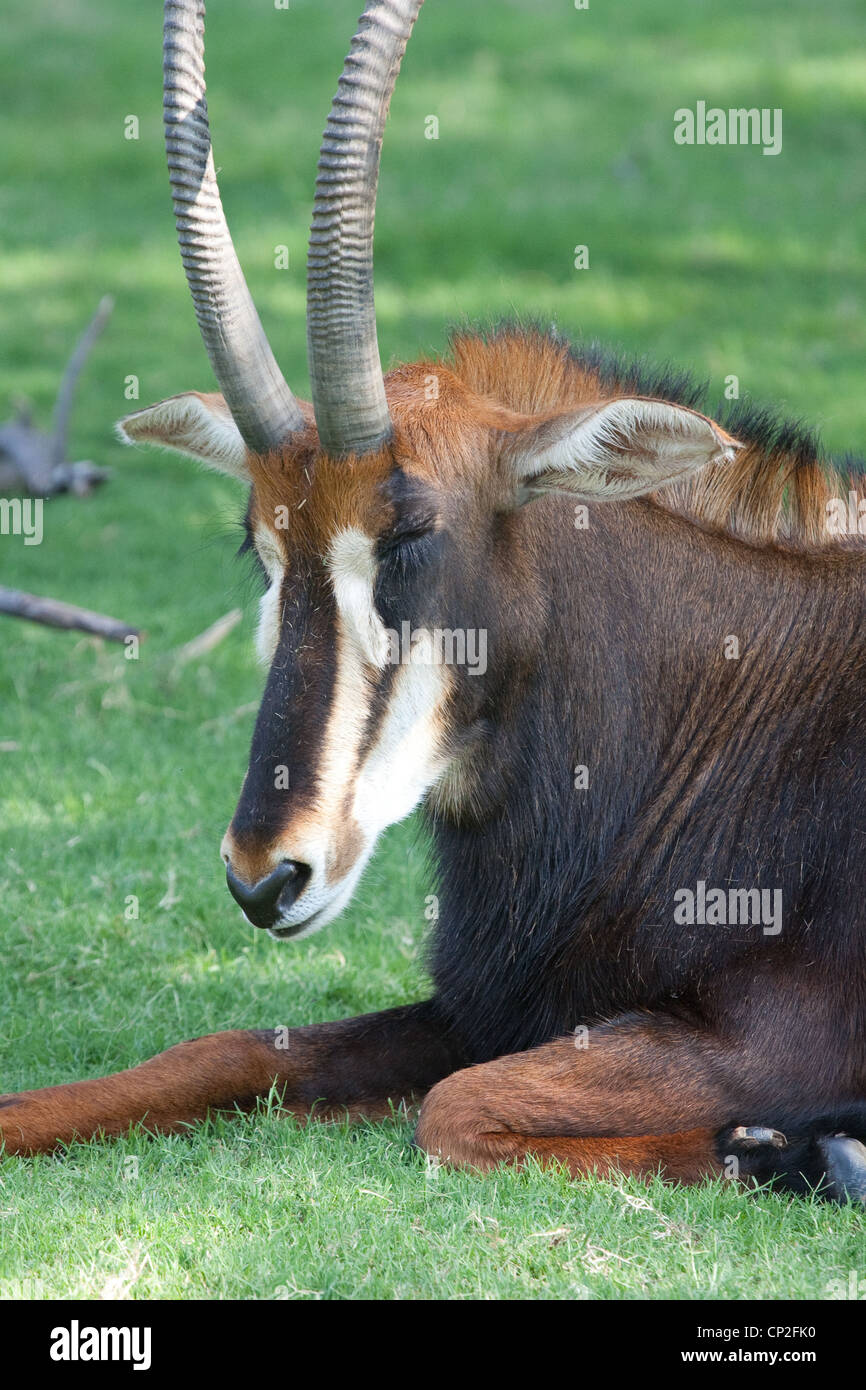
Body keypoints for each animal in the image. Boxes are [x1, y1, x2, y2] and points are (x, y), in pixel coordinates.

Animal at [2, 0, 866, 1203]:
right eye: (260, 546)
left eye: (410, 532)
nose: (265, 878)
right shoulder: (483, 1010)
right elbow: (223, 1048)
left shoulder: (772, 1037)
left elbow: (455, 1108)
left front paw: (790, 1146)